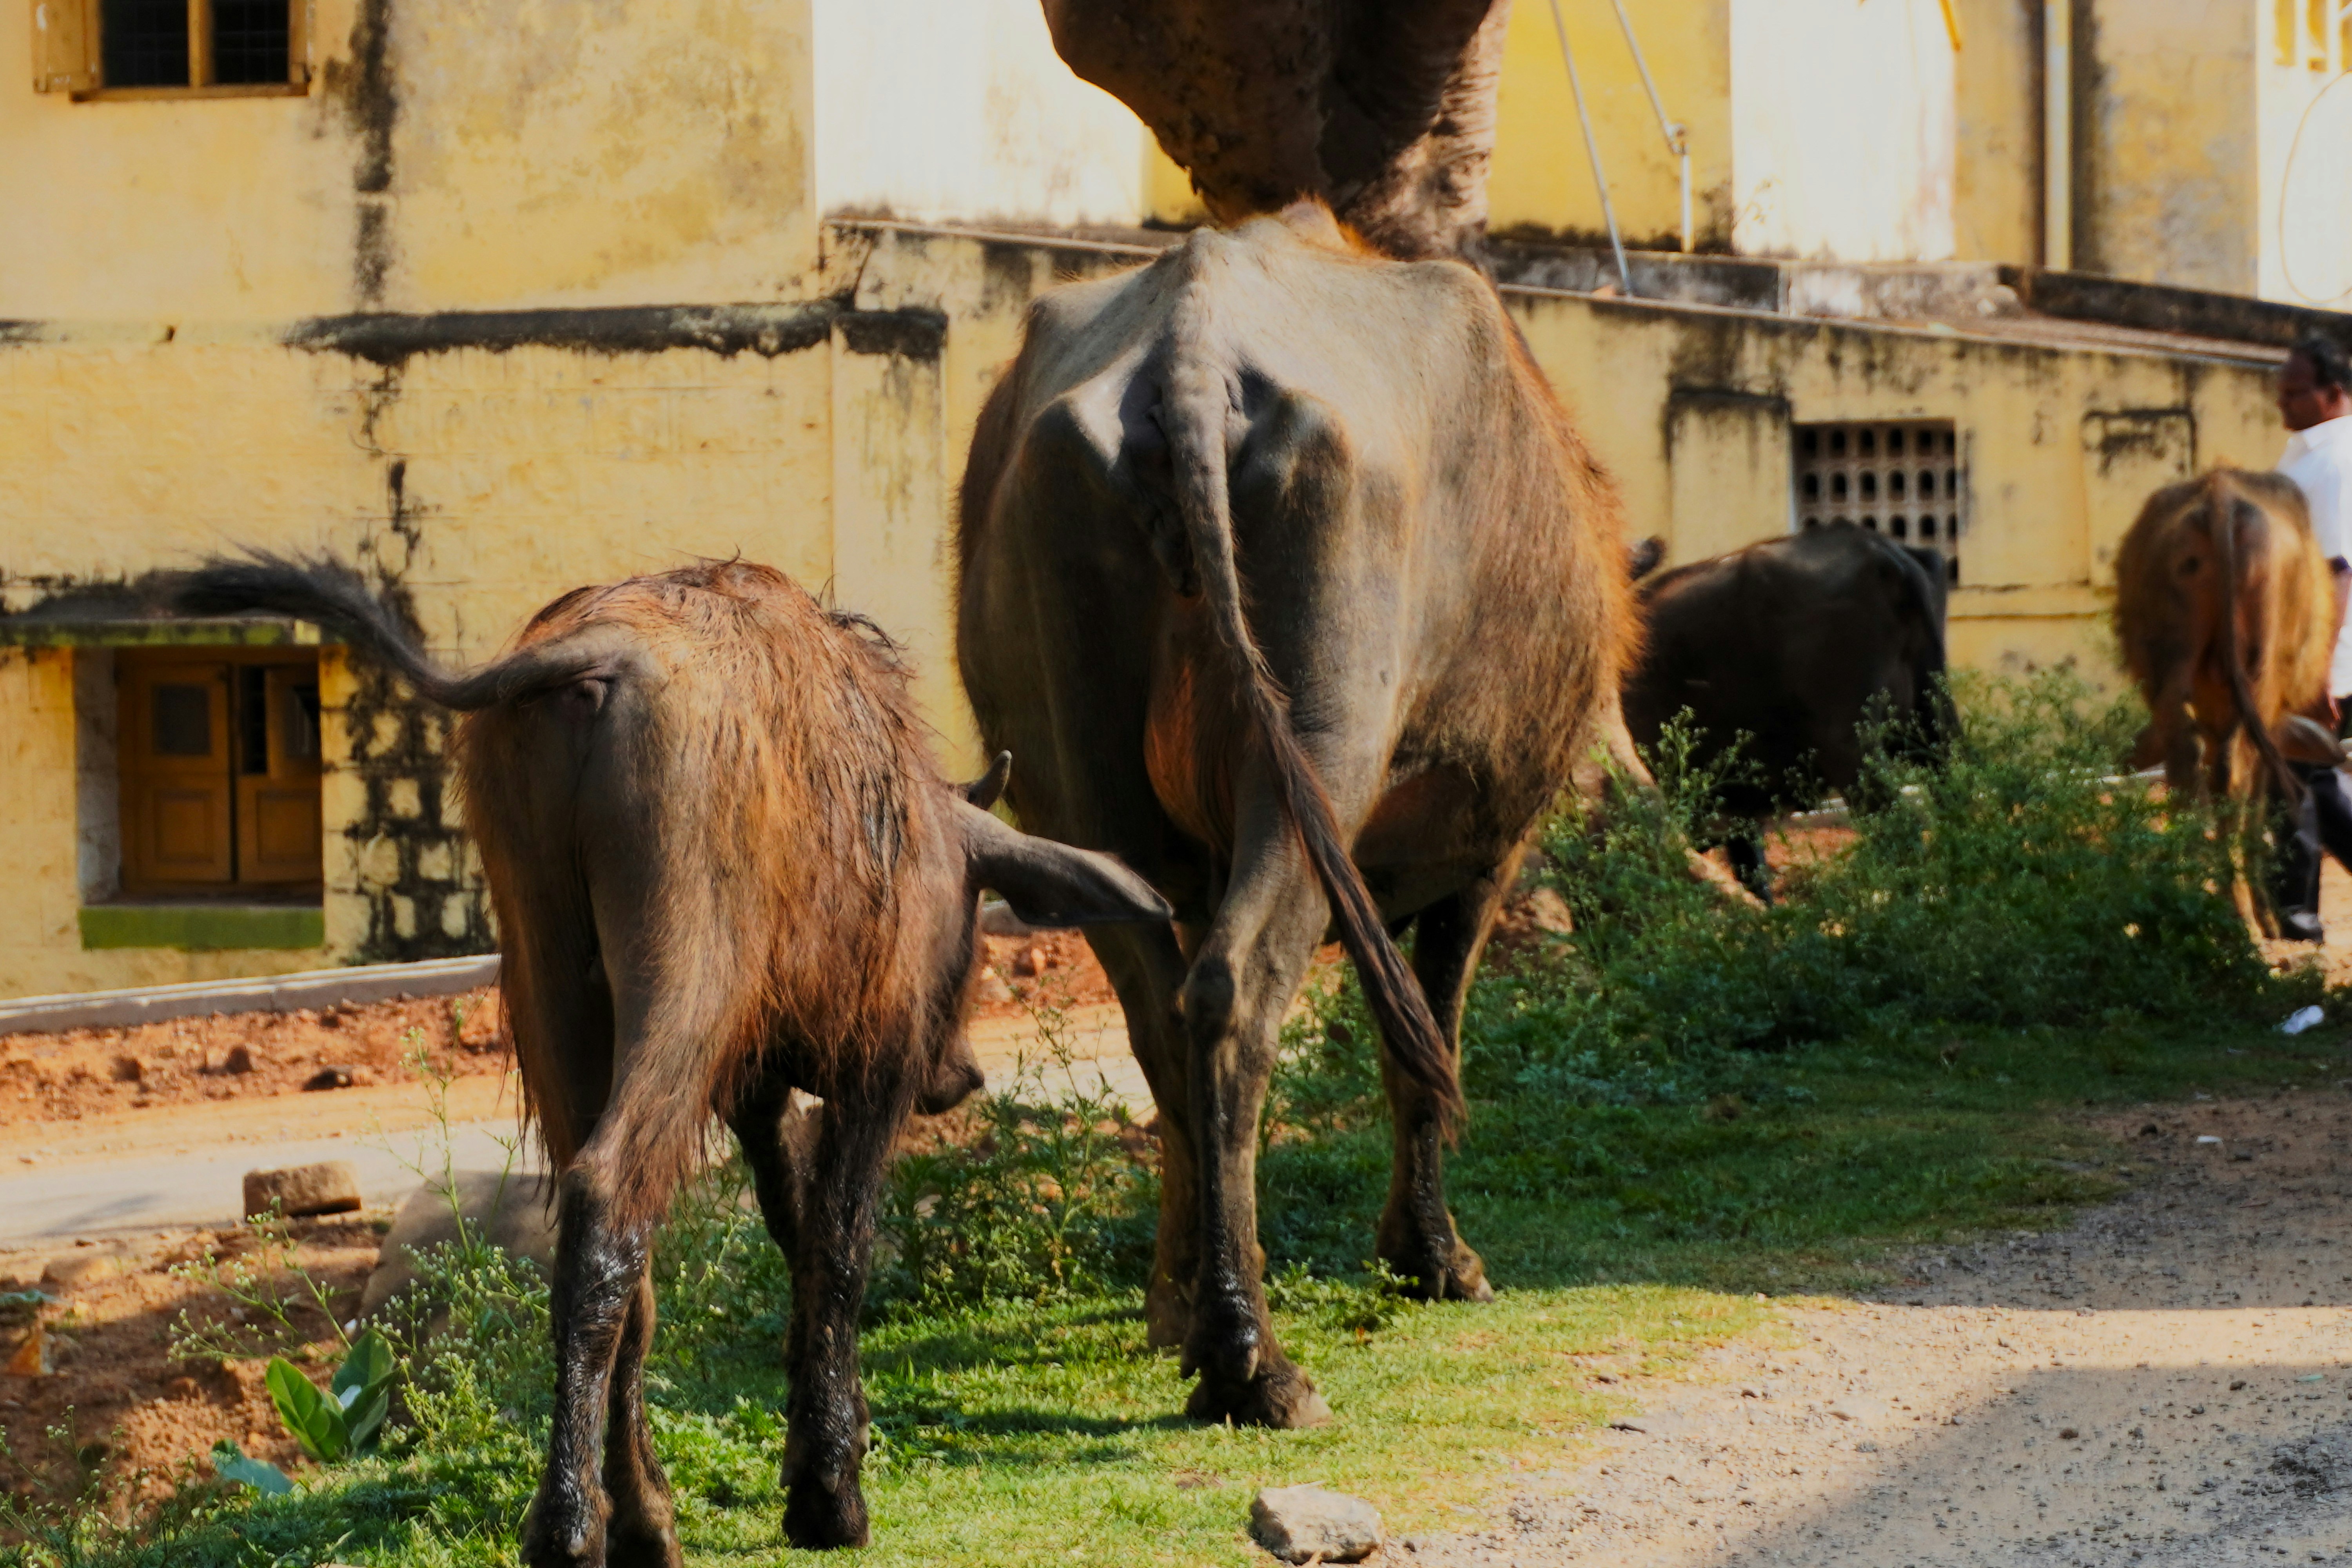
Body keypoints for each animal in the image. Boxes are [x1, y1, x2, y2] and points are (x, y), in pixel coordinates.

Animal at [178, 555, 1171, 1562]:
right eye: (972, 917)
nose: (960, 1075)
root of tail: (598, 653)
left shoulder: (758, 1087)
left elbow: (794, 1228)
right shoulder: (874, 1062)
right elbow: (841, 1243)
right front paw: (829, 1486)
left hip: (553, 983)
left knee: (613, 1240)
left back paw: (636, 1511)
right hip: (685, 979)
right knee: (612, 1194)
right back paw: (577, 1524)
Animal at [955, 203, 1640, 1429]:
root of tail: (1186, 361)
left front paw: (1174, 1297)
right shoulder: (1487, 849)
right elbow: (1426, 1036)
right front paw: (1432, 1258)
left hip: (1086, 777)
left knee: (1164, 1017)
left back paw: (1197, 1307)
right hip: (1316, 748)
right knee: (1236, 992)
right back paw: (1253, 1363)